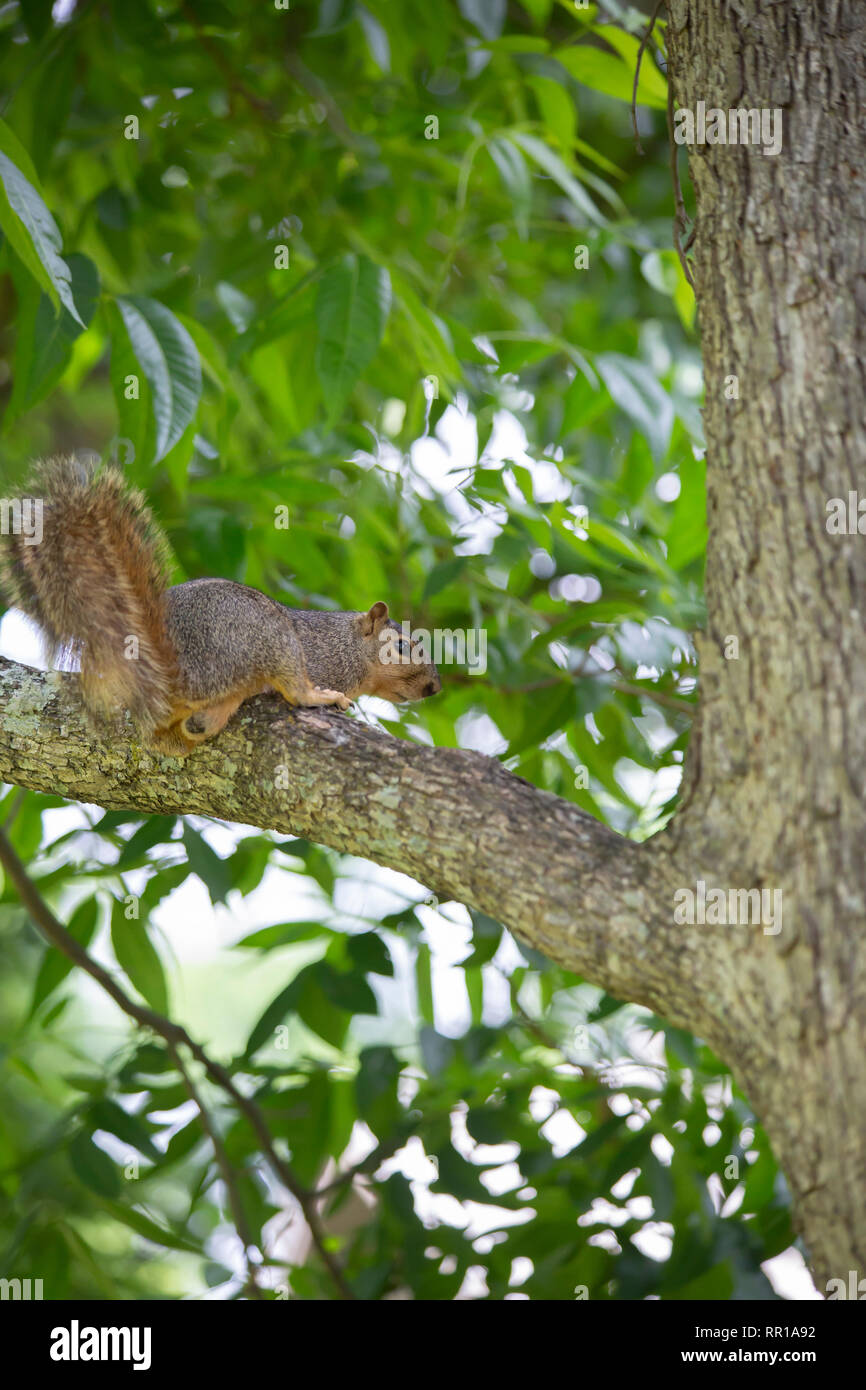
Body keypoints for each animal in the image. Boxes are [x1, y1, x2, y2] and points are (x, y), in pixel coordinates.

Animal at [0, 456, 441, 756]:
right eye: (402, 646)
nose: (433, 688)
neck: (352, 645)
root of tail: (162, 662)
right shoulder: (328, 660)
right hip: (263, 636)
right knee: (290, 687)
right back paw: (313, 696)